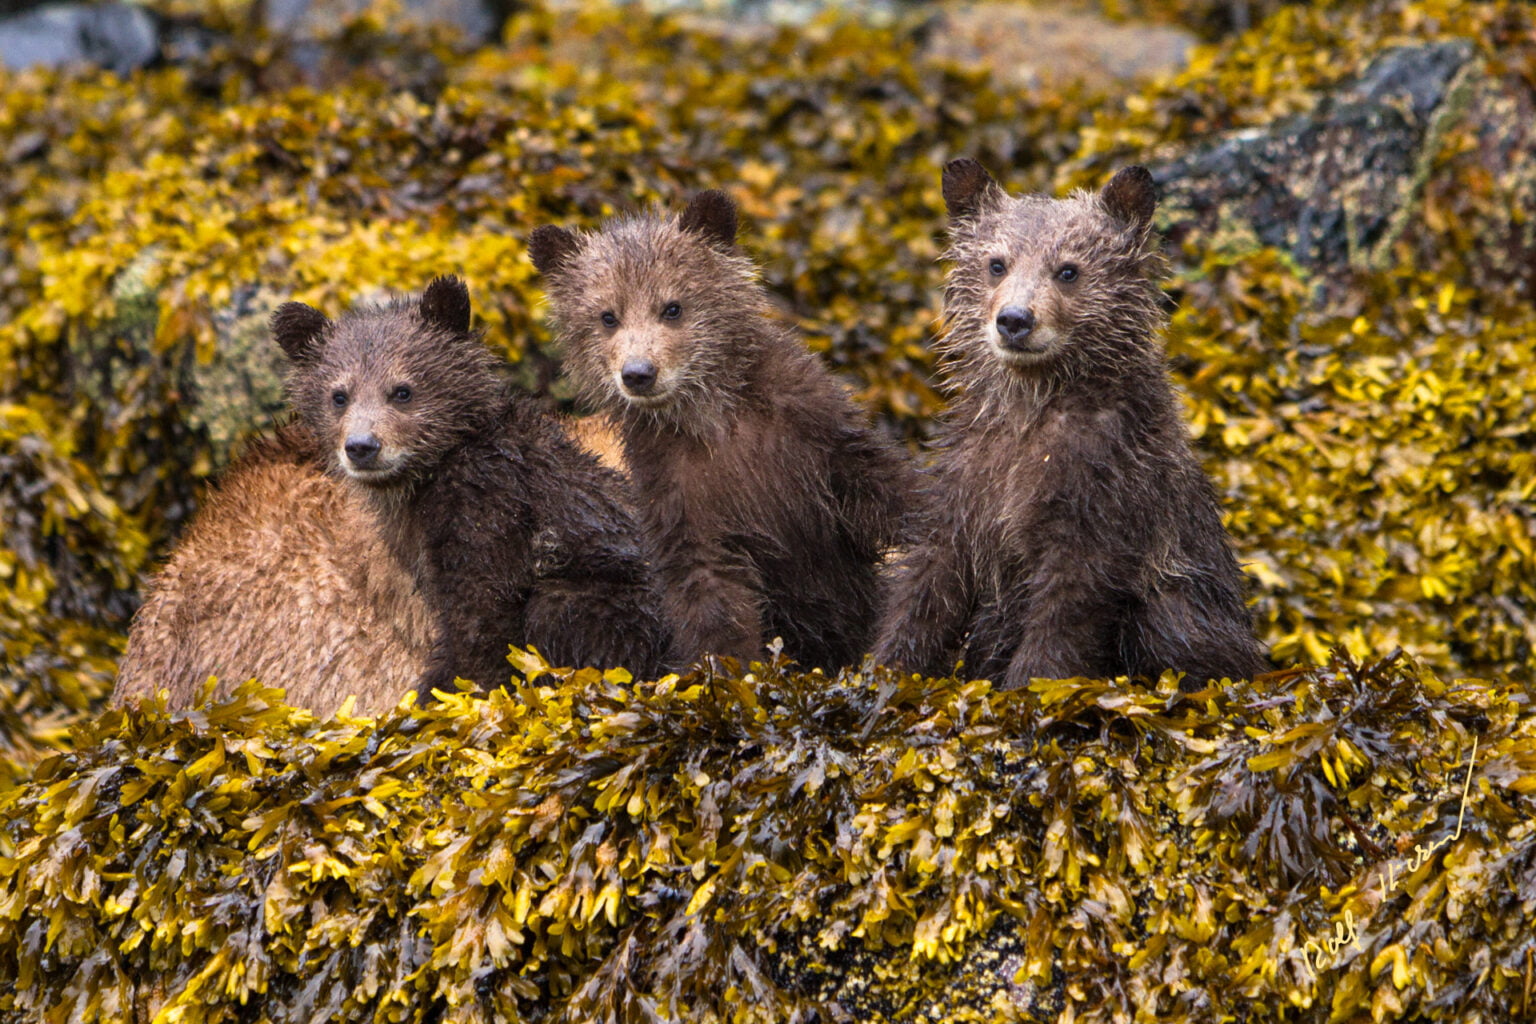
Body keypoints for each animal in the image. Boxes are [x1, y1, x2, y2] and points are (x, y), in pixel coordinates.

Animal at [529, 190, 914, 671]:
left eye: (673, 306)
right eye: (607, 316)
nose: (638, 373)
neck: (711, 418)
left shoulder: (812, 426)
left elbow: (881, 484)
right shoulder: (678, 488)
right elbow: (711, 593)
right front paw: (726, 670)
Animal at [873, 160, 1268, 690]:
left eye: (1067, 270)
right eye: (996, 263)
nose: (1014, 319)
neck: (1033, 413)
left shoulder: (1105, 488)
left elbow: (1068, 608)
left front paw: (1029, 687)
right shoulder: (970, 479)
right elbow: (929, 580)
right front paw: (878, 671)